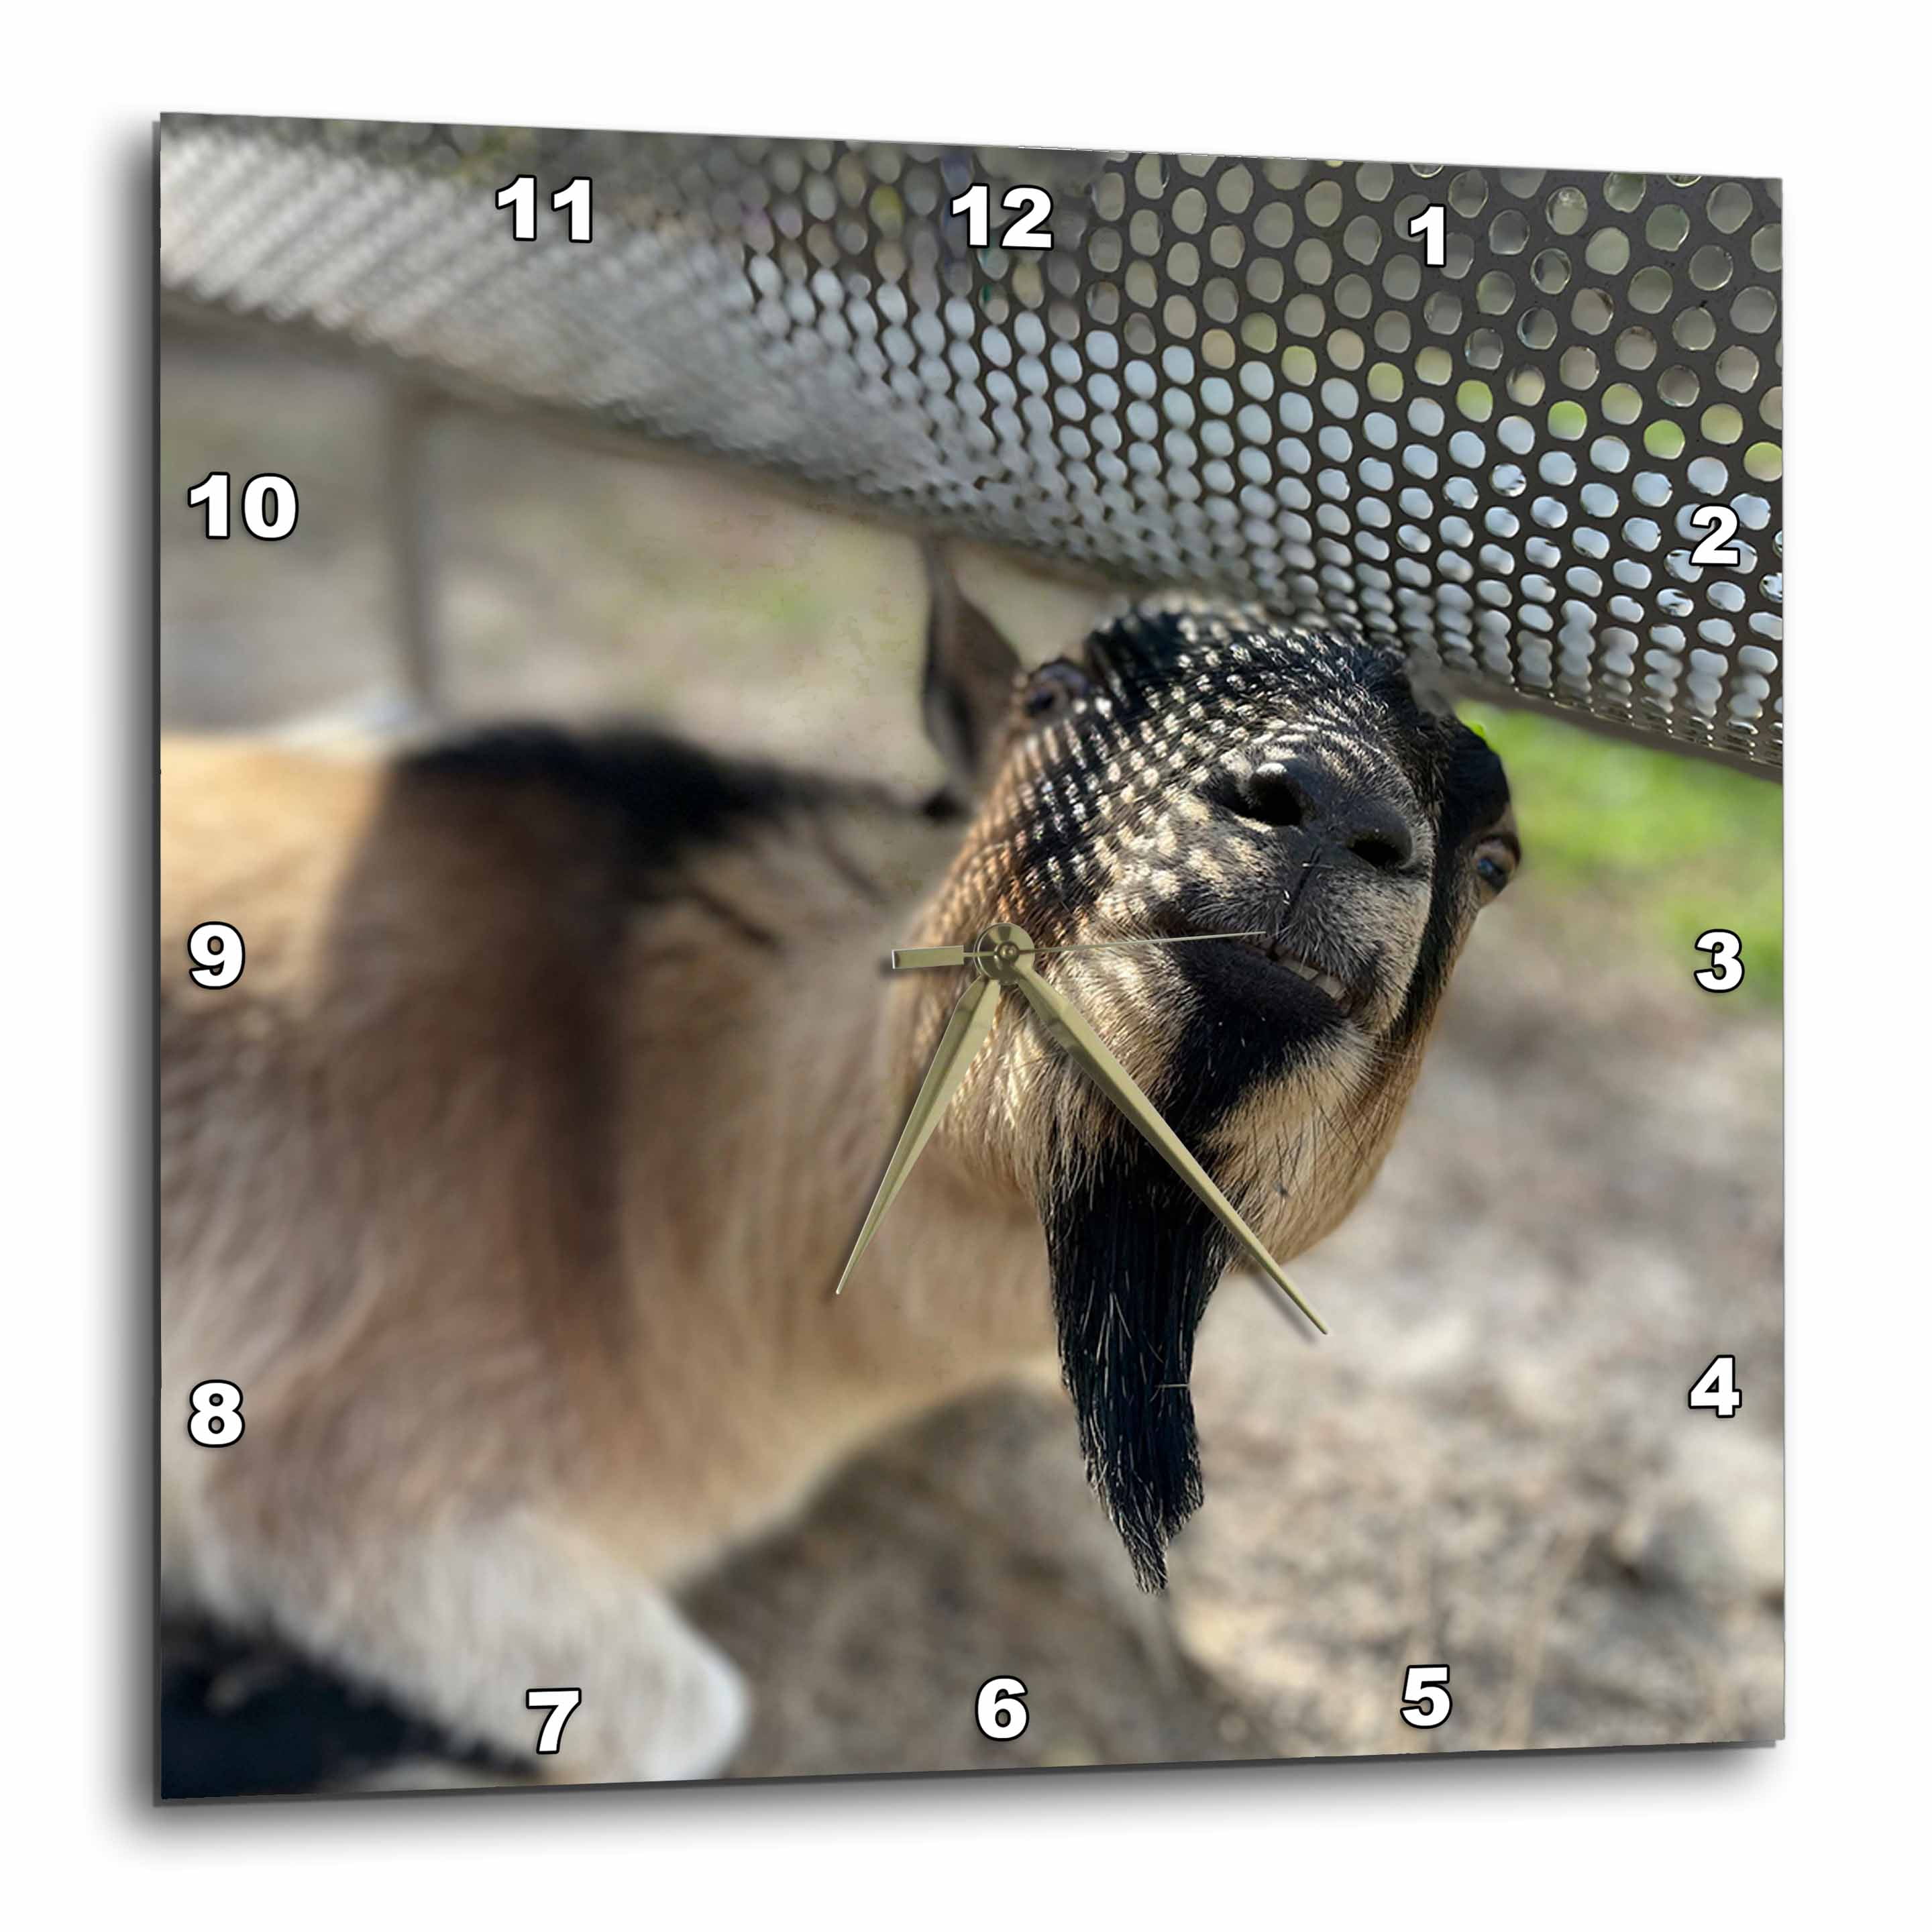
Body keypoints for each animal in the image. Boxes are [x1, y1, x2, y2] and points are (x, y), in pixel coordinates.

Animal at [159, 552, 1518, 1787]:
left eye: (1494, 862)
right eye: (1054, 690)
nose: (1325, 805)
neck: (633, 1150)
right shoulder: (347, 1473)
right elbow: (689, 1713)